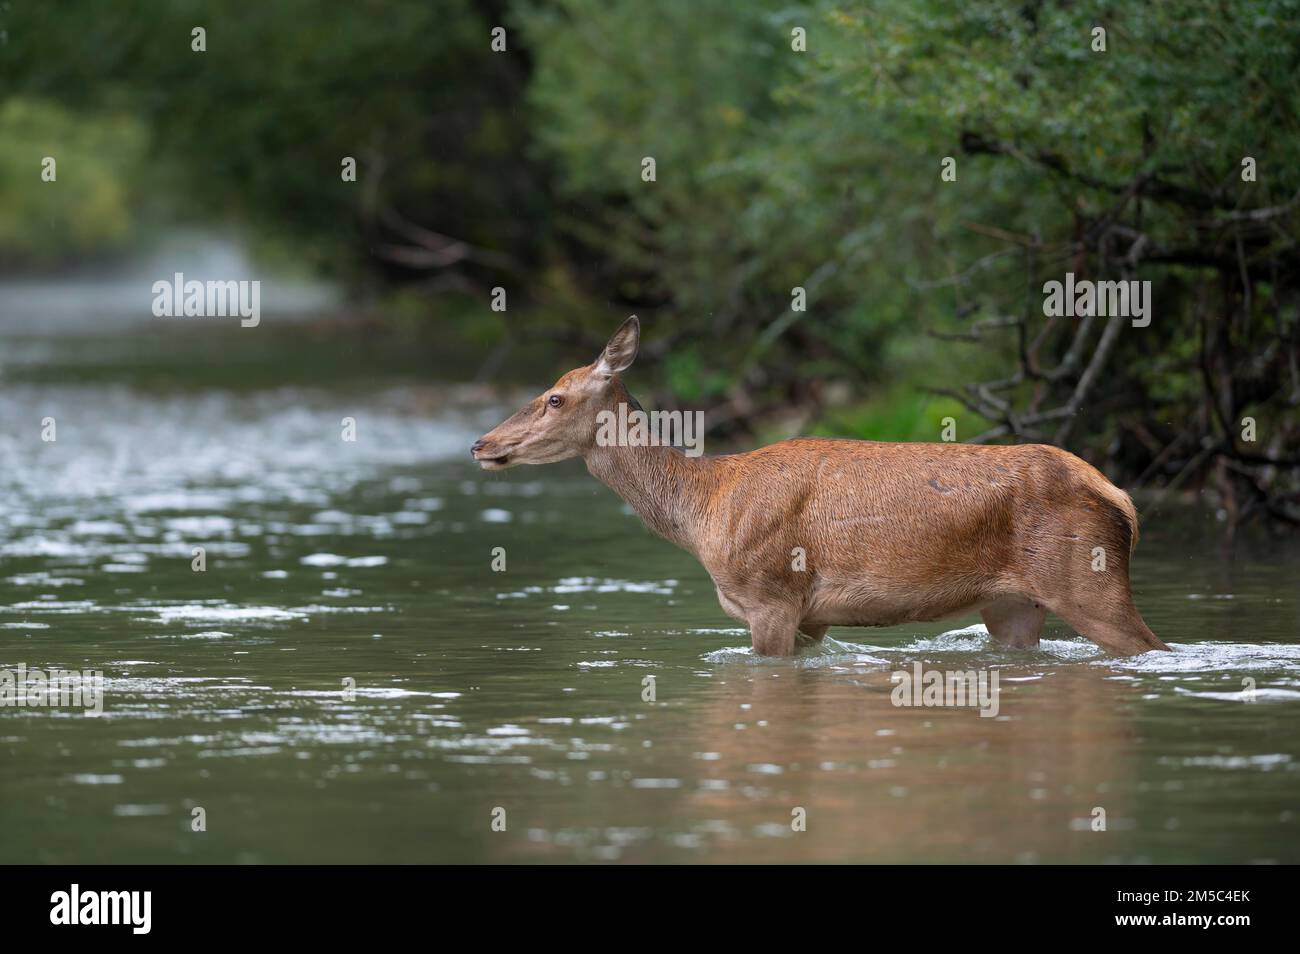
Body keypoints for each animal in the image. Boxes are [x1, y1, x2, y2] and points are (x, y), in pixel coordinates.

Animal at [471, 317, 1170, 658]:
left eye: (554, 397)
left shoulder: (772, 595)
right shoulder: (813, 617)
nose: (481, 443)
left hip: (1087, 579)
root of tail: (1122, 499)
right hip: (1012, 605)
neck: (704, 509)